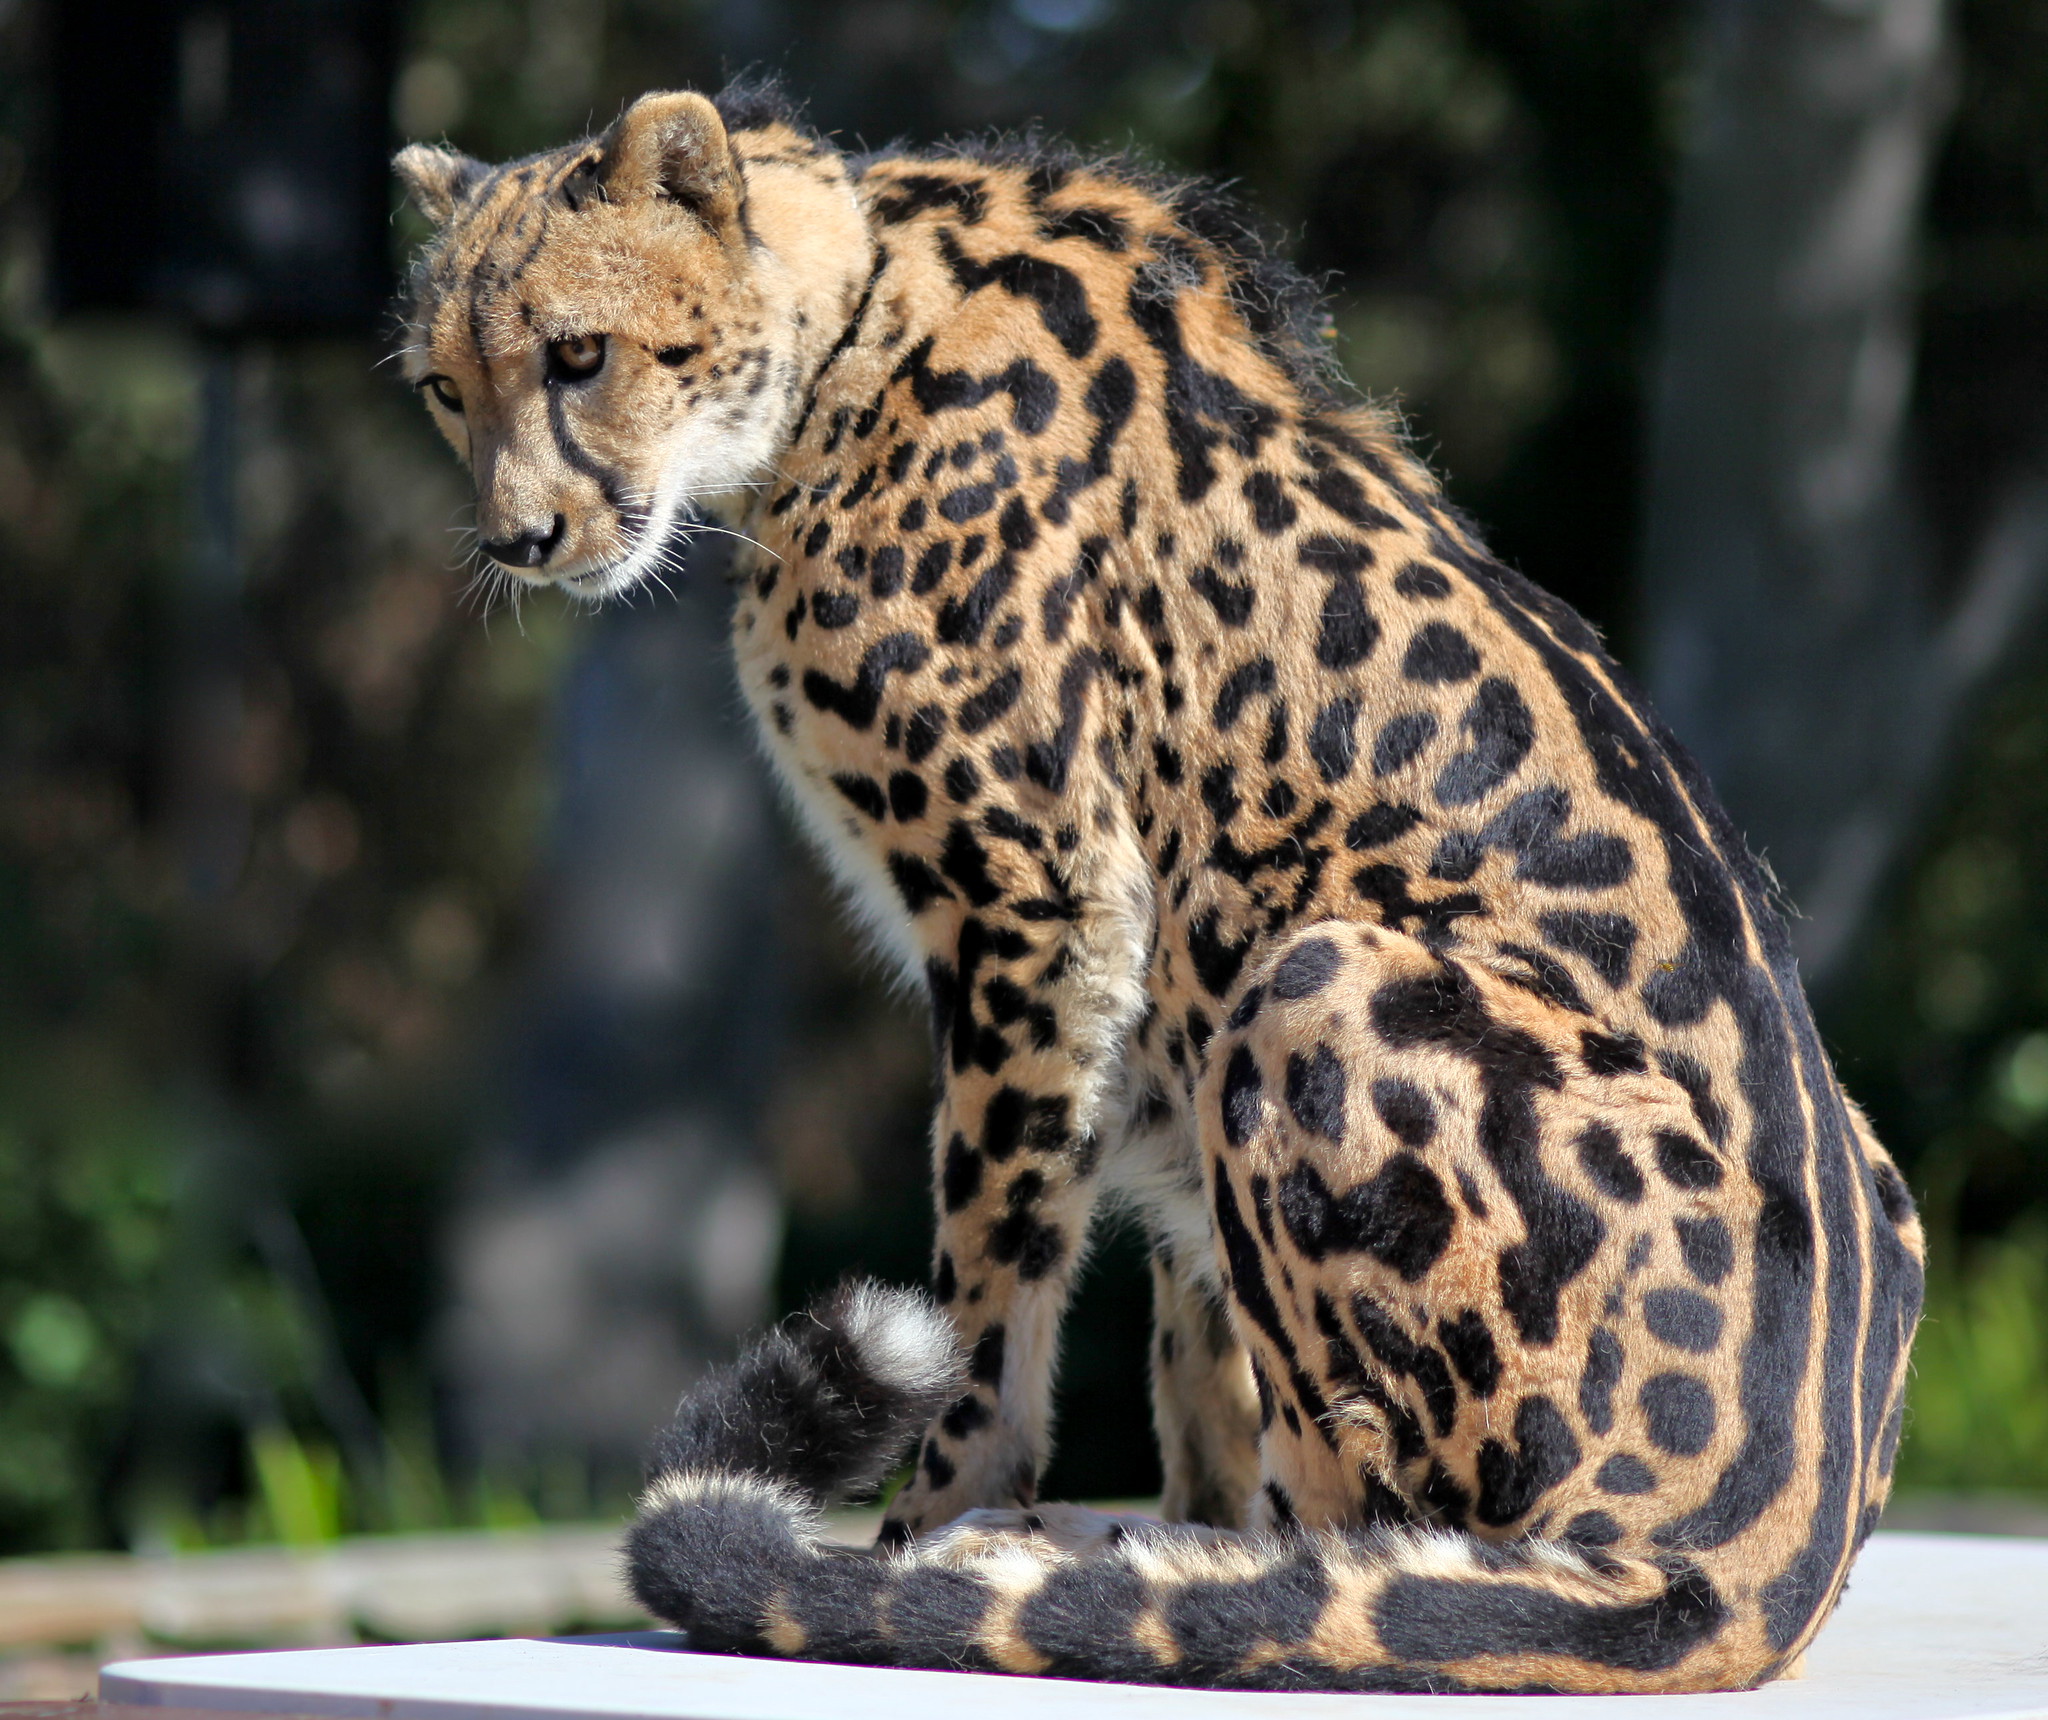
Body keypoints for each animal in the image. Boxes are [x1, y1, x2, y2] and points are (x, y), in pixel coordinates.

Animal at [393, 79, 1924, 1694]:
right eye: (443, 387)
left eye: (579, 354)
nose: (518, 539)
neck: (842, 327)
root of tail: (1767, 1559)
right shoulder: (1164, 977)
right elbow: (1198, 1350)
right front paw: (1172, 1553)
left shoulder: (1040, 902)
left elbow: (992, 1296)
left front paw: (912, 1562)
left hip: (1315, 974)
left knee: (1357, 1499)